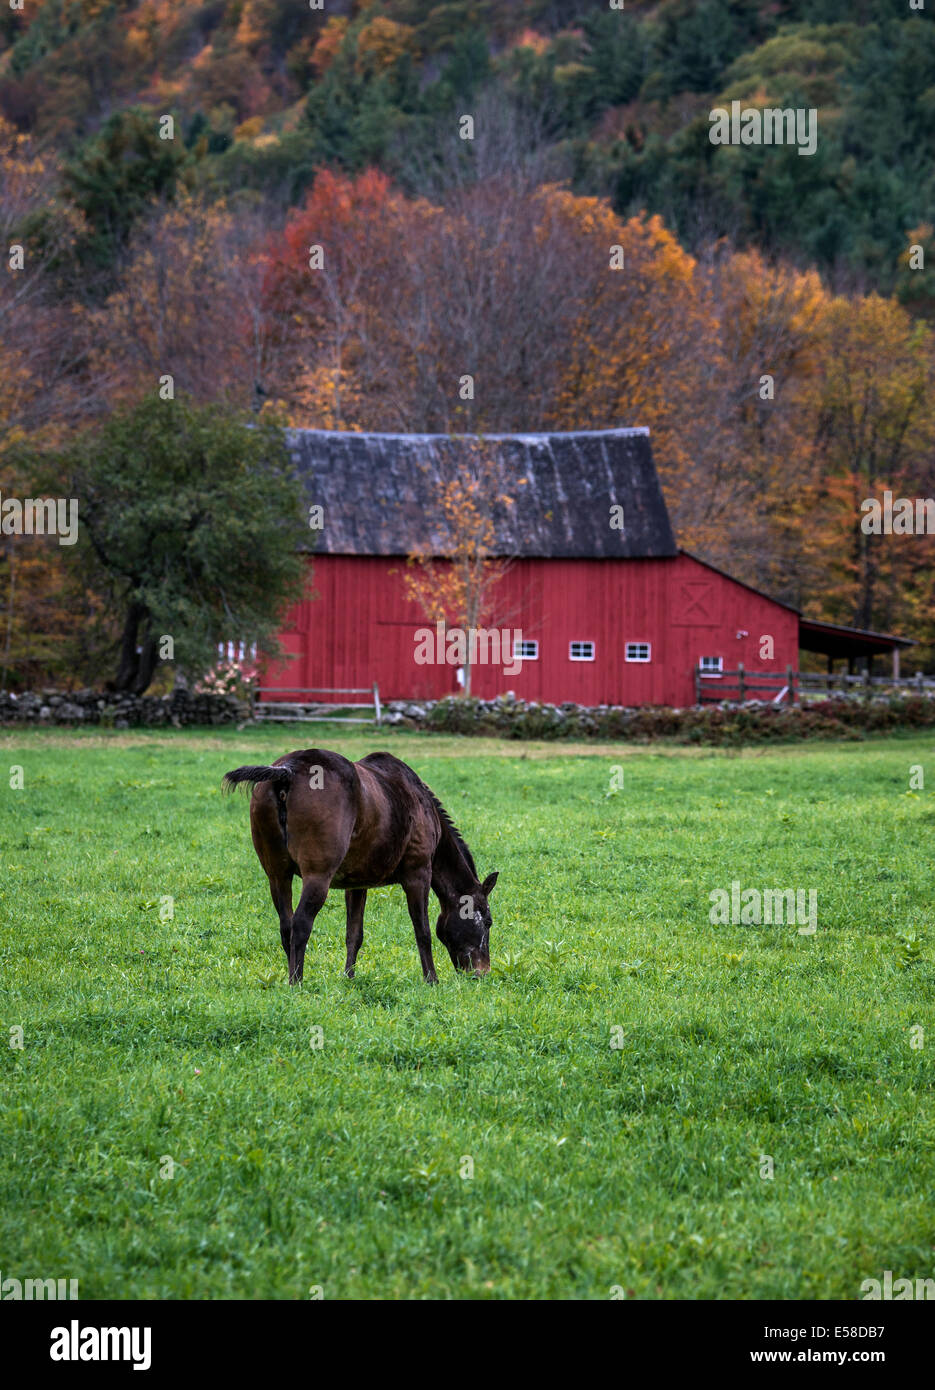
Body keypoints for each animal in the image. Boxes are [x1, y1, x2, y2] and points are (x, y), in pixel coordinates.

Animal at [220, 745, 494, 984]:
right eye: (488, 922)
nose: (482, 973)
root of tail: (288, 771)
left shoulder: (357, 884)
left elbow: (354, 934)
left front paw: (348, 977)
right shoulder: (418, 875)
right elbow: (423, 931)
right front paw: (431, 980)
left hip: (277, 875)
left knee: (286, 926)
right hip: (317, 877)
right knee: (300, 924)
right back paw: (296, 982)